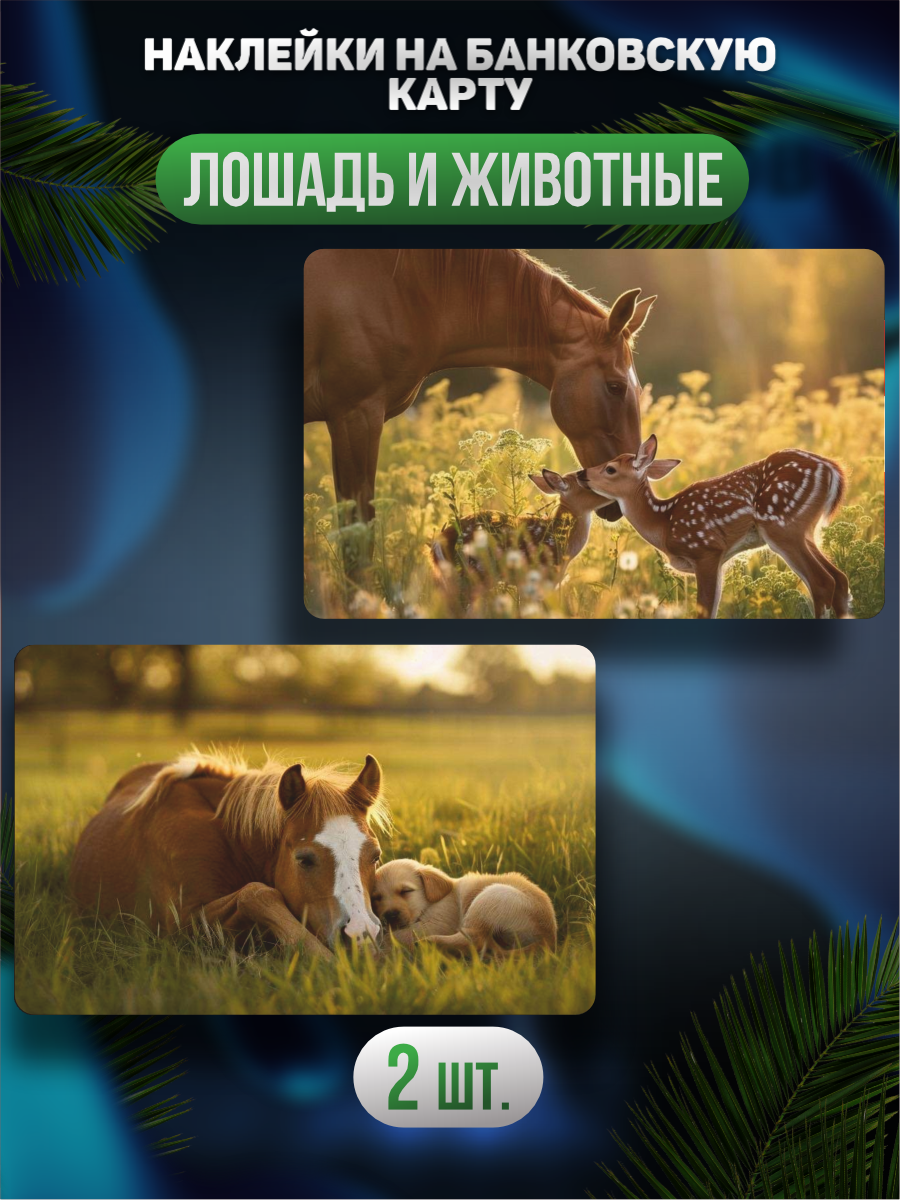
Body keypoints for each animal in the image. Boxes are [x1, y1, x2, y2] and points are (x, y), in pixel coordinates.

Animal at [69, 749, 388, 958]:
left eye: (375, 856)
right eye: (304, 859)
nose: (361, 935)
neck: (228, 837)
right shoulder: (182, 925)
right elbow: (256, 893)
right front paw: (323, 961)